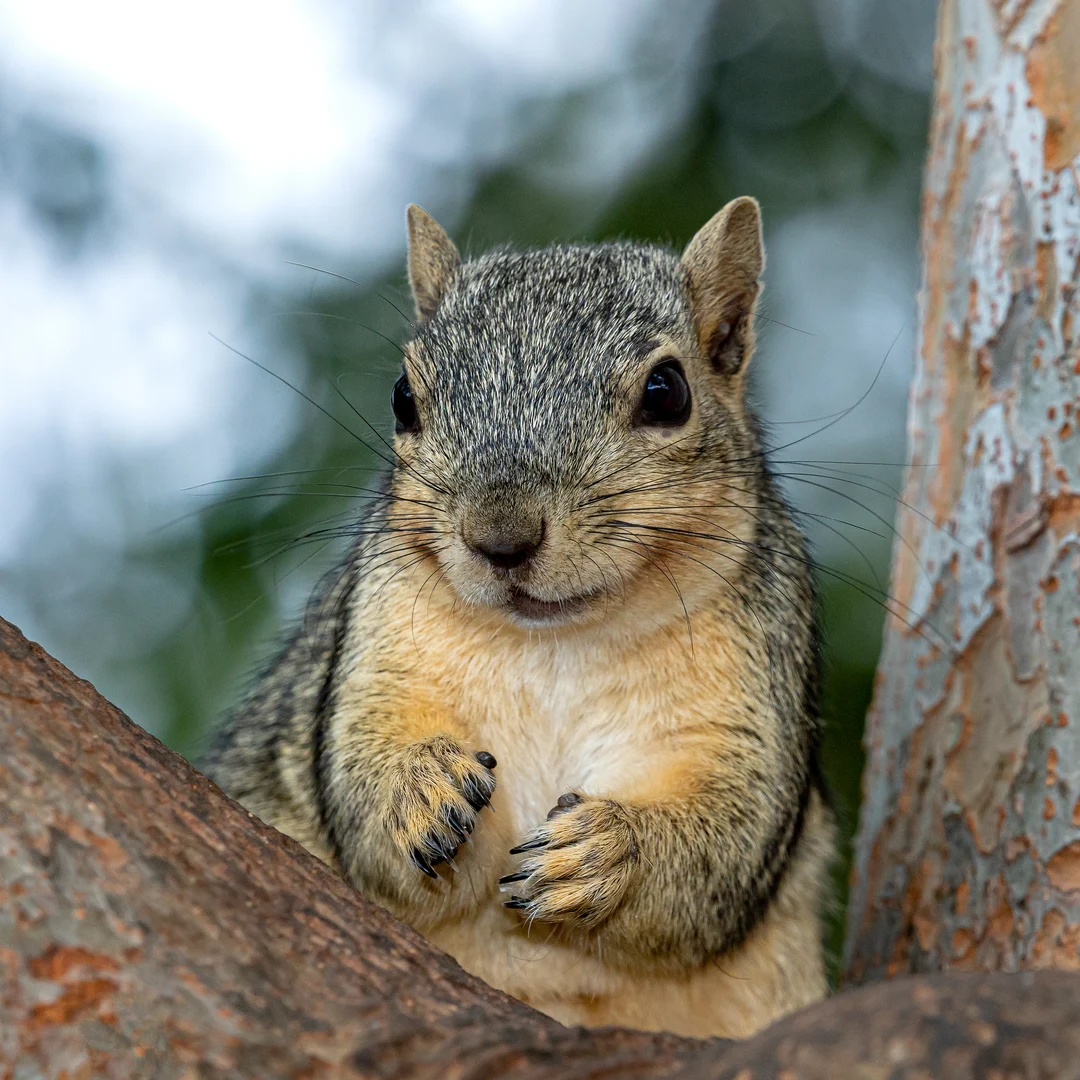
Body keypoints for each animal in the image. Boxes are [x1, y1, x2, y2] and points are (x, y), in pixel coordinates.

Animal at [203, 198, 835, 1039]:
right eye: (403, 397)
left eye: (668, 391)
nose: (500, 536)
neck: (558, 642)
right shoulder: (374, 646)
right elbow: (359, 782)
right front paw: (418, 793)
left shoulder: (753, 696)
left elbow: (723, 853)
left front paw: (607, 853)